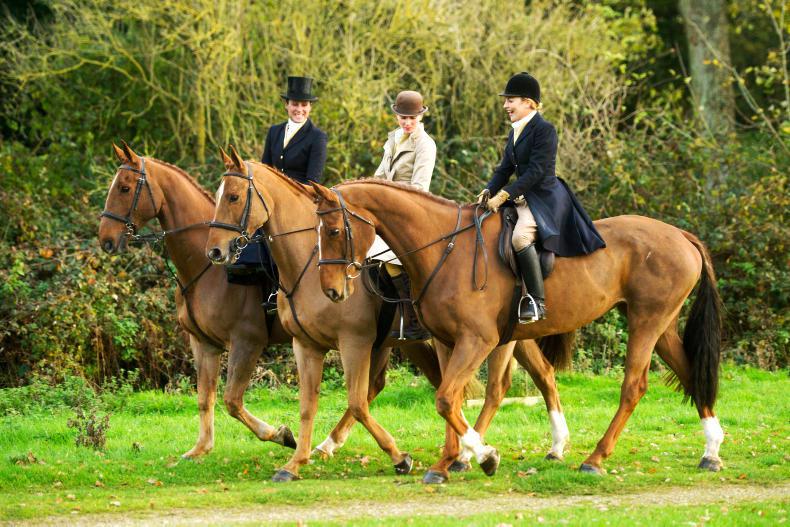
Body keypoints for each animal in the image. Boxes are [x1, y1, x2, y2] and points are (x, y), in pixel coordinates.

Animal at [204, 147, 572, 481]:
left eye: (233, 197)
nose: (216, 251)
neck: (307, 264)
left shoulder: (354, 341)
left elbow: (356, 401)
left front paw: (400, 457)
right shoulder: (307, 344)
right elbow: (309, 405)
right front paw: (293, 462)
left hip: (492, 336)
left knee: (501, 385)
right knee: (531, 376)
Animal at [311, 178, 724, 483]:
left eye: (333, 230)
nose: (331, 291)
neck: (445, 247)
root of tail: (681, 235)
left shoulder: (479, 340)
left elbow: (446, 398)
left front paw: (483, 456)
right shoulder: (448, 342)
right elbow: (450, 399)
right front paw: (447, 462)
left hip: (645, 322)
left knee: (633, 387)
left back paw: (595, 458)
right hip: (660, 324)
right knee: (689, 372)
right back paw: (711, 451)